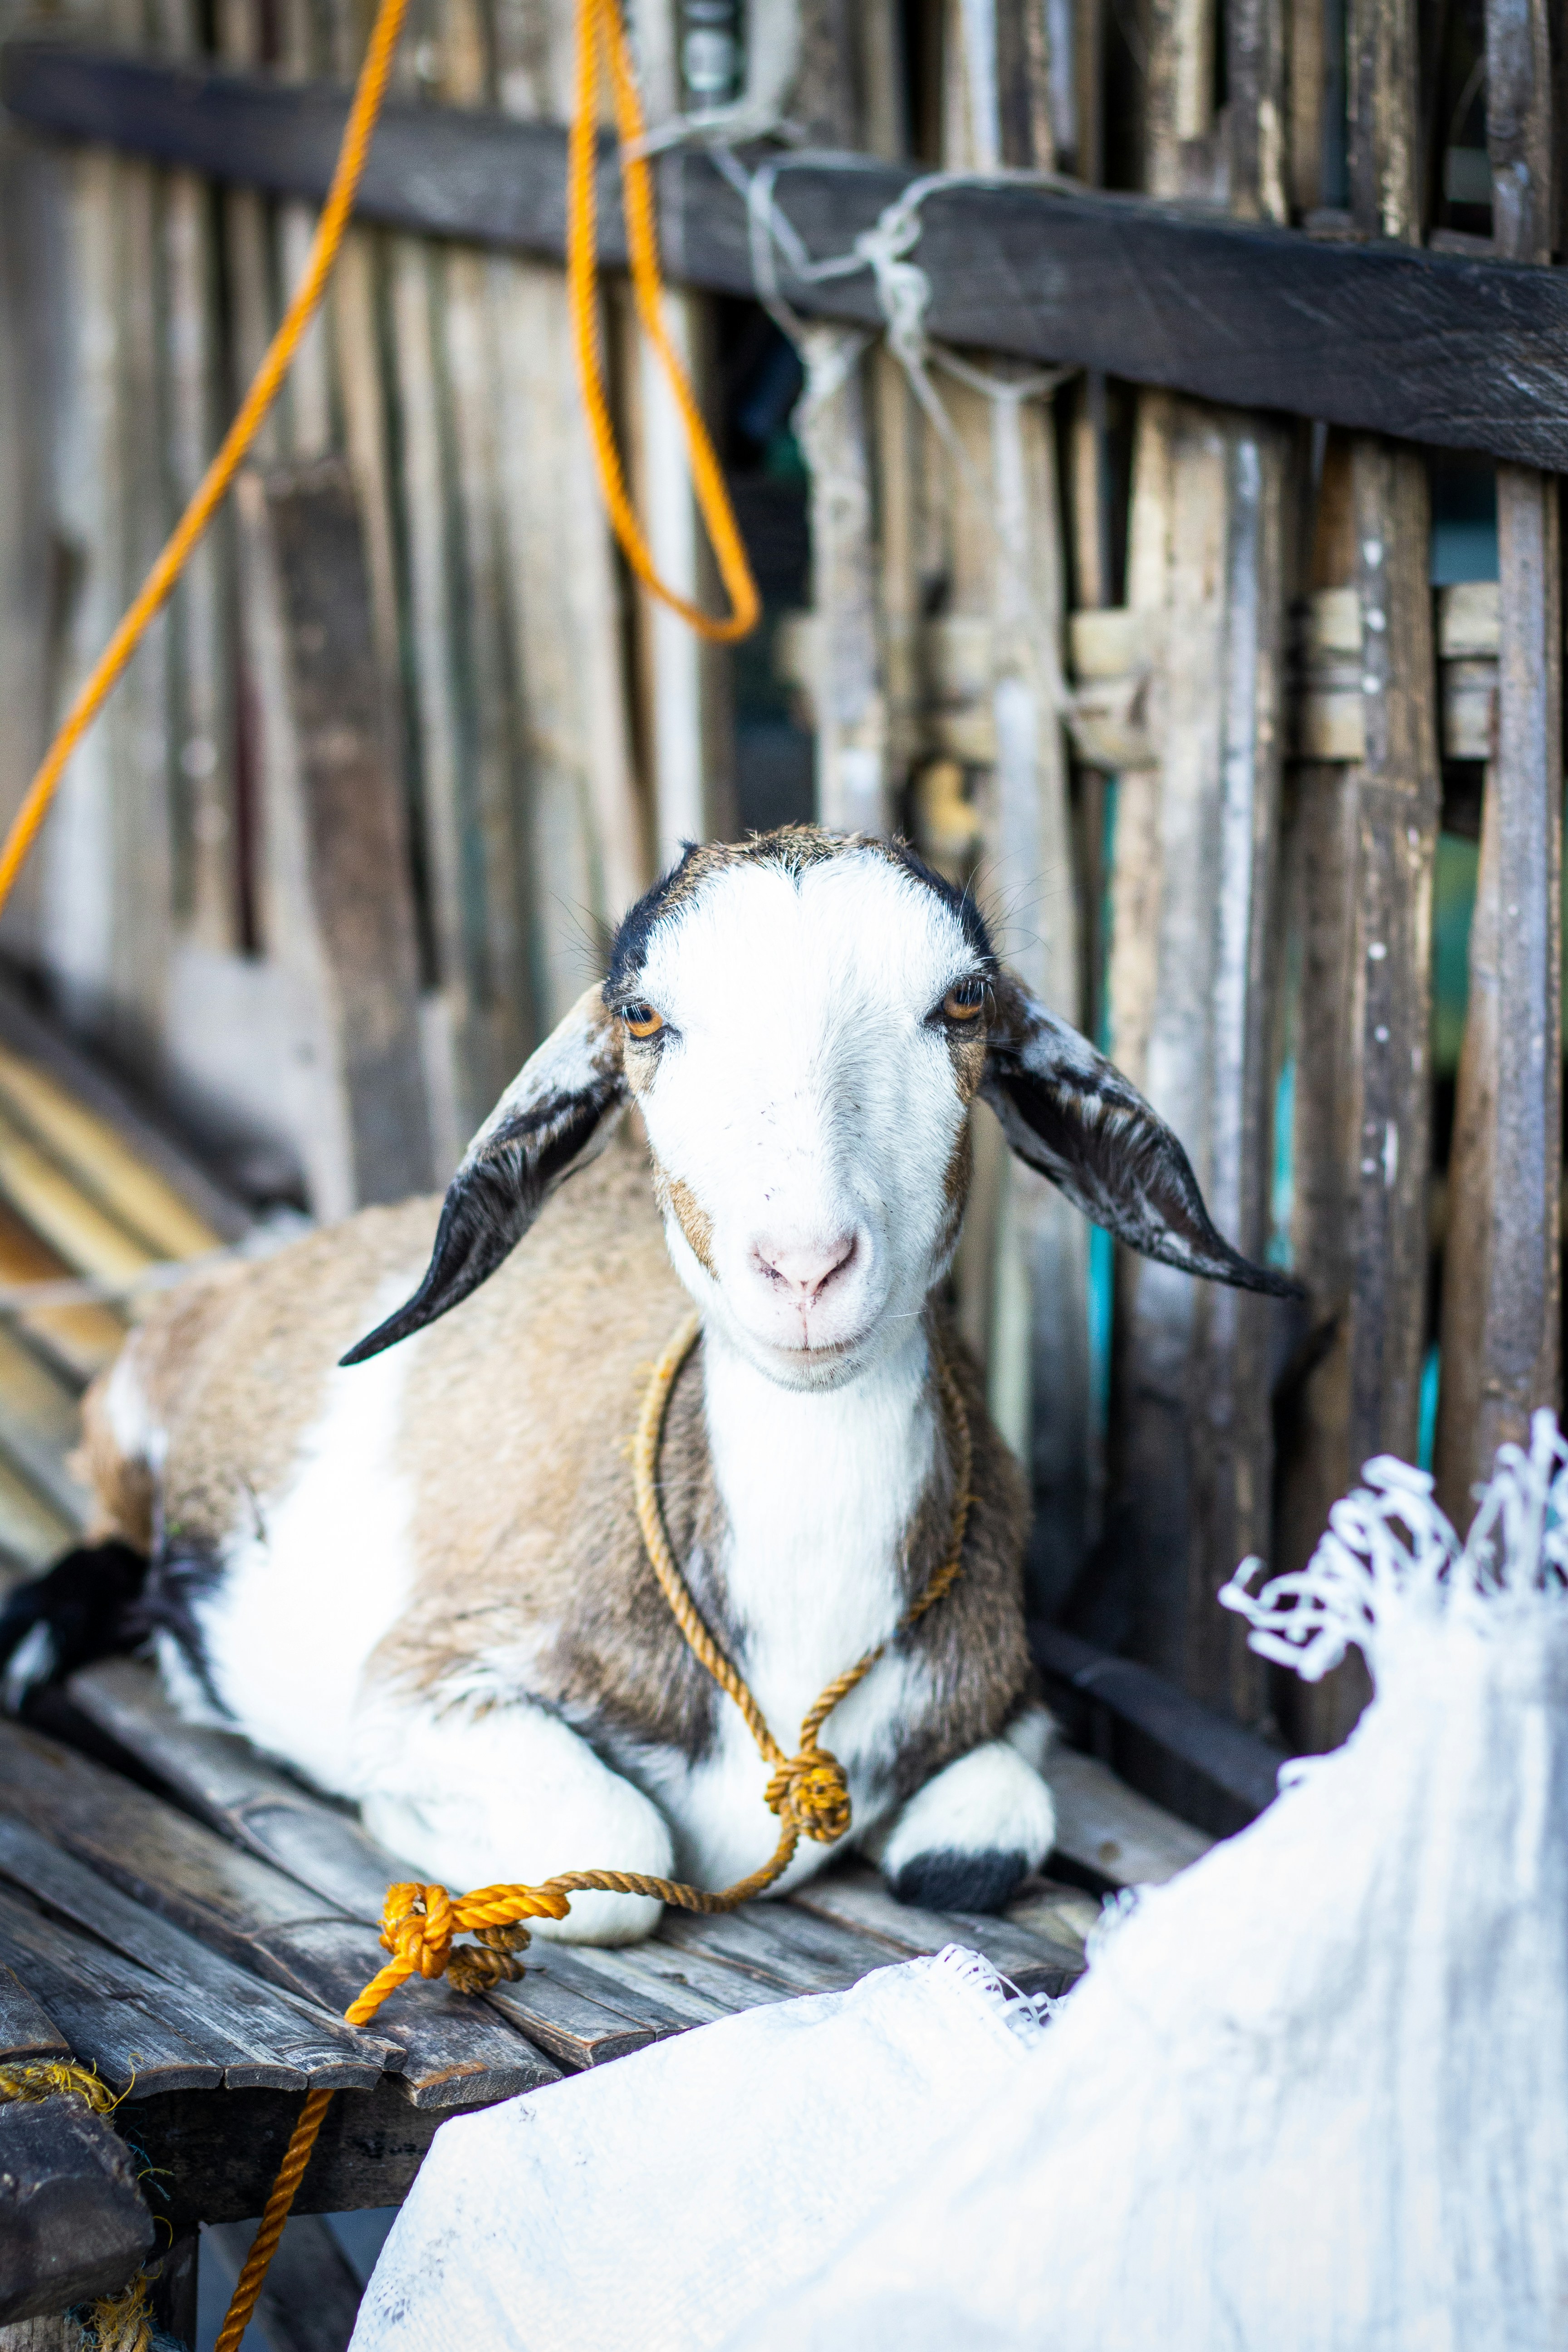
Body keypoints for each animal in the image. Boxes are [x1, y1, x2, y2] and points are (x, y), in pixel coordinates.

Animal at [0, 828, 1289, 1942]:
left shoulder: (1005, 1712)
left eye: (962, 1000)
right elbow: (614, 1860)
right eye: (642, 1013)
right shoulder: (426, 1682)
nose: (805, 1267)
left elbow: (972, 1850)